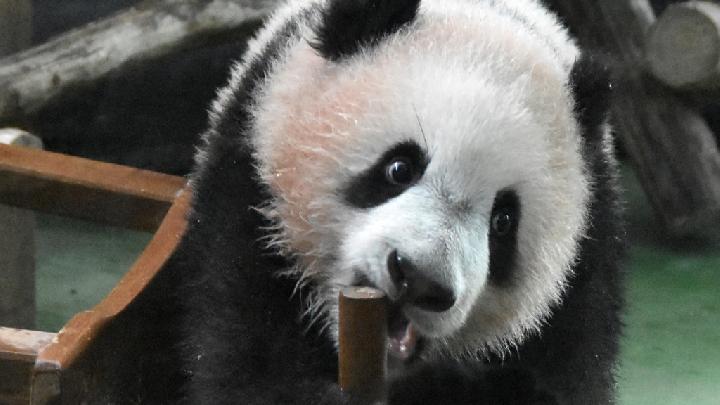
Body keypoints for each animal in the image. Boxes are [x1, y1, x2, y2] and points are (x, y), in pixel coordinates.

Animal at [121, 0, 625, 404]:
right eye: (399, 168)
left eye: (504, 221)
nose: (419, 279)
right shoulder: (250, 203)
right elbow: (247, 368)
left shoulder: (579, 288)